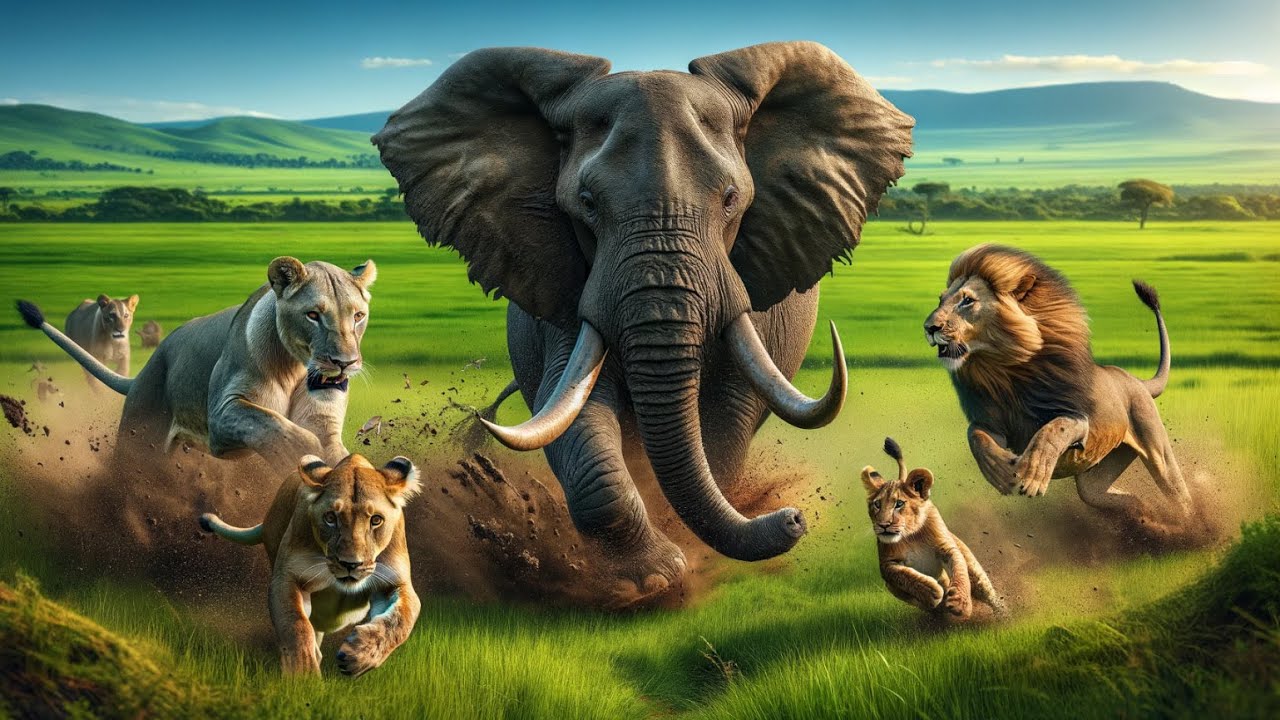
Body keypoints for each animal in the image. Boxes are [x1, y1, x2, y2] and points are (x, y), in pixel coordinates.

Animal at [17, 257, 374, 465]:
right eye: (313, 315)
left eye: (358, 316)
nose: (345, 363)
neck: (298, 367)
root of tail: (147, 368)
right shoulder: (222, 414)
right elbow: (273, 424)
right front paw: (300, 457)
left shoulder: (324, 423)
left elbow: (340, 453)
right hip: (138, 434)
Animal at [200, 453, 422, 676]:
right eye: (330, 517)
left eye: (376, 520)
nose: (350, 564)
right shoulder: (288, 578)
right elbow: (295, 625)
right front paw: (303, 675)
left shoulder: (393, 583)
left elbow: (400, 621)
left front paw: (360, 655)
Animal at [861, 437, 1005, 620]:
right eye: (877, 505)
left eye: (899, 504)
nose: (883, 525)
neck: (911, 536)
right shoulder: (887, 564)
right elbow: (904, 576)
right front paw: (930, 592)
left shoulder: (947, 548)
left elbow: (959, 571)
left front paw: (960, 604)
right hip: (892, 587)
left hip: (975, 571)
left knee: (984, 589)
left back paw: (1004, 615)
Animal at [923, 243, 1192, 535]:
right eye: (941, 299)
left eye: (967, 301)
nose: (929, 328)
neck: (1004, 373)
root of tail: (1135, 380)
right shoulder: (991, 422)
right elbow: (976, 436)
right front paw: (1001, 472)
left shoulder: (1079, 418)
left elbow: (1052, 430)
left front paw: (1033, 476)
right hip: (1095, 481)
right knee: (1122, 499)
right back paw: (1149, 522)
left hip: (1156, 448)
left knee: (1179, 494)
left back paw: (1191, 528)